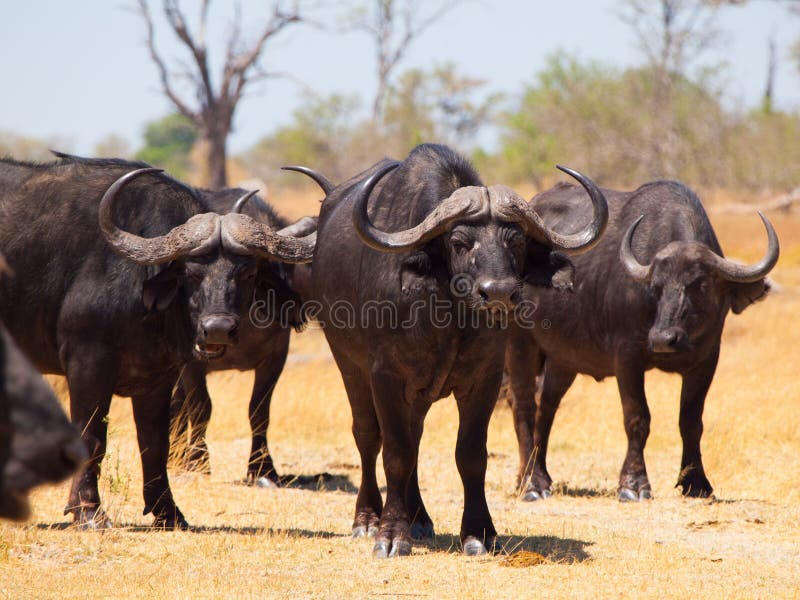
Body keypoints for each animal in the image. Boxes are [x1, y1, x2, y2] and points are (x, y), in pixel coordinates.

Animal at [0, 154, 315, 528]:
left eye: (248, 272)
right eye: (191, 272)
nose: (218, 328)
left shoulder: (160, 375)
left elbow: (156, 443)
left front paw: (168, 511)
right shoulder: (87, 363)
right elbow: (91, 438)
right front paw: (88, 511)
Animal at [297, 144, 608, 557]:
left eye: (515, 241)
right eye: (459, 241)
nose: (498, 292)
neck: (447, 316)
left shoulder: (485, 378)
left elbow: (470, 454)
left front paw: (479, 532)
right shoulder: (385, 376)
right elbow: (394, 453)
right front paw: (391, 534)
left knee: (414, 436)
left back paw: (420, 519)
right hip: (348, 364)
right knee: (367, 435)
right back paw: (367, 518)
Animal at [505, 180, 778, 502]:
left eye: (701, 284)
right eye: (656, 286)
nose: (662, 339)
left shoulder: (706, 360)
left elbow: (691, 420)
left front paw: (696, 482)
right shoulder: (627, 358)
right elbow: (637, 417)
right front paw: (633, 484)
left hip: (563, 360)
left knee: (546, 405)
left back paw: (542, 476)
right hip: (521, 344)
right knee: (523, 404)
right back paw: (530, 483)